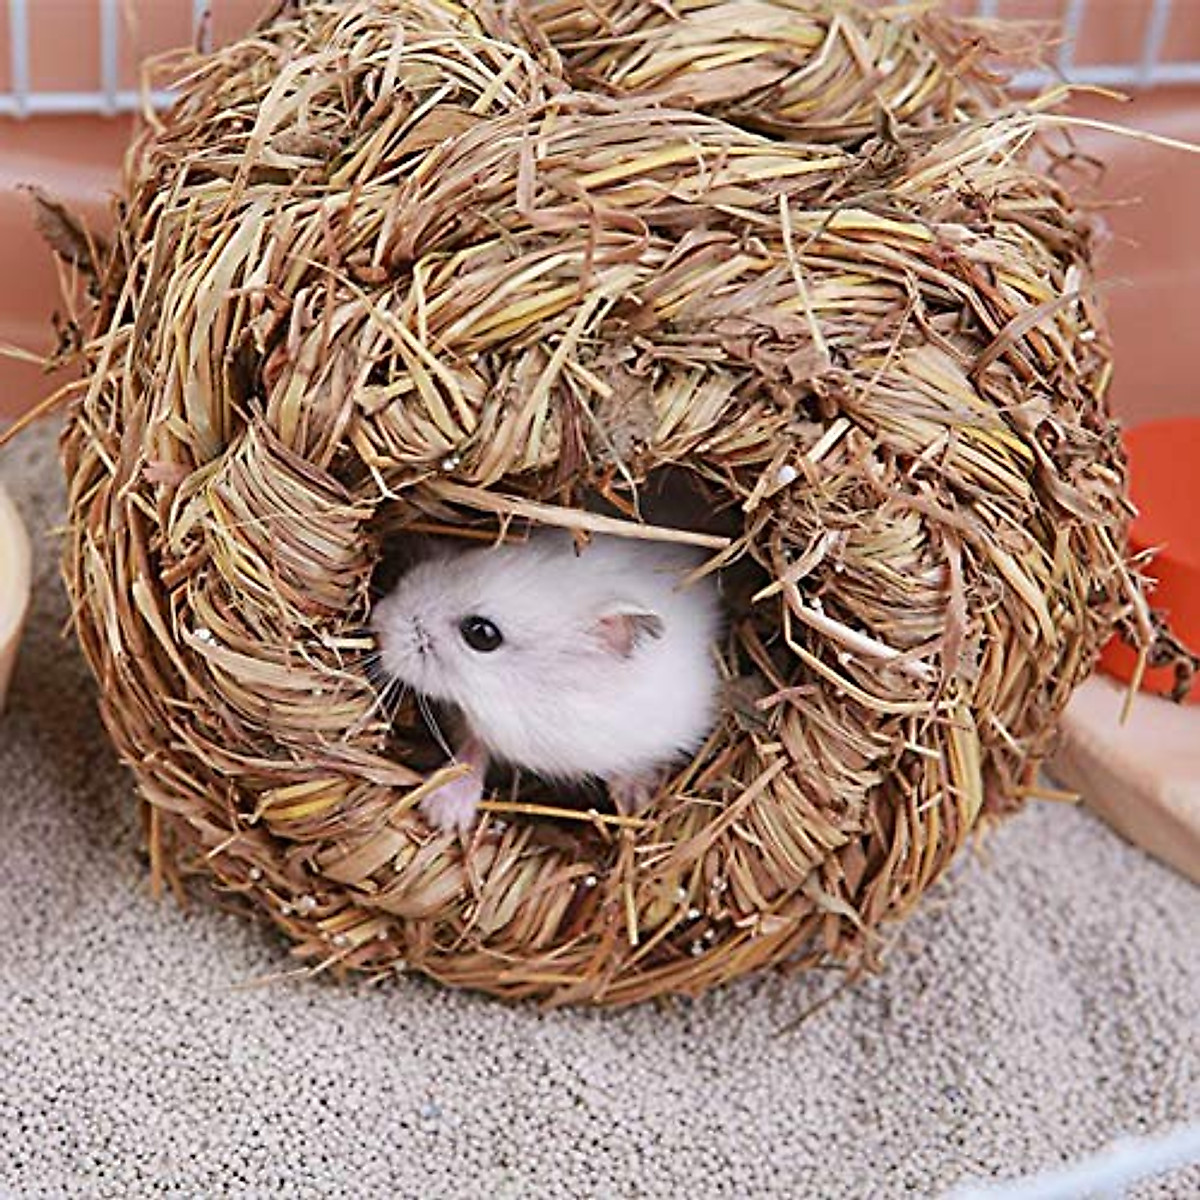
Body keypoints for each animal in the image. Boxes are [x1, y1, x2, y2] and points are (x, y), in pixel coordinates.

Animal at [371, 530, 723, 831]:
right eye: (467, 554)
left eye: (481, 634)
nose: (378, 621)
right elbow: (474, 746)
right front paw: (441, 815)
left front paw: (637, 799)